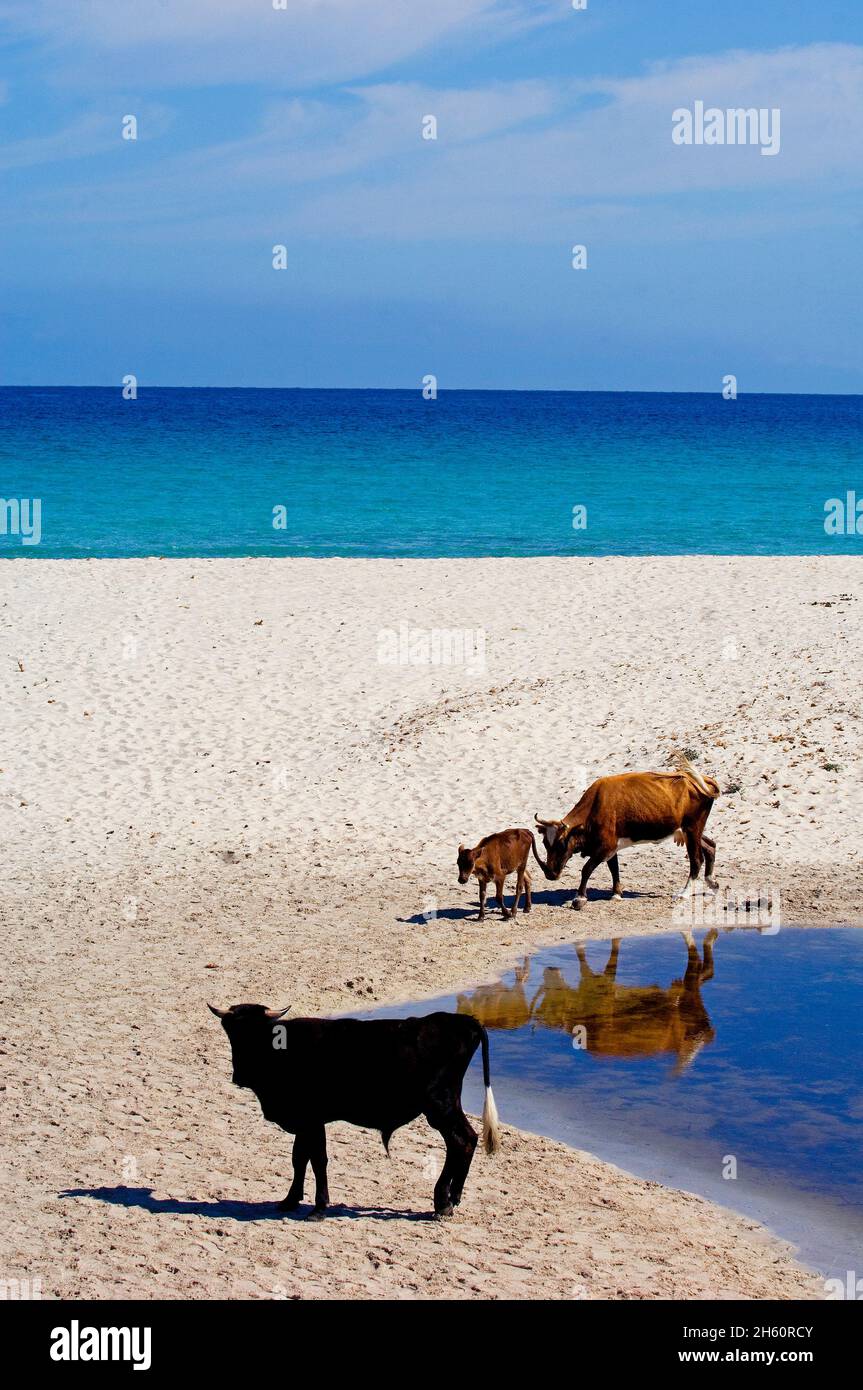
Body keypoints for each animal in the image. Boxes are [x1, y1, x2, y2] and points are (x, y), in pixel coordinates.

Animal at [207, 1004, 501, 1219]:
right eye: (232, 1033)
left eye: (259, 1034)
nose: (239, 1076)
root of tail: (462, 1020)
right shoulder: (305, 1122)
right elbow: (299, 1159)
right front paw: (290, 1200)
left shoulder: (312, 1120)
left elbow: (317, 1160)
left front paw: (319, 1207)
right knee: (466, 1140)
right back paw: (452, 1198)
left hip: (440, 1106)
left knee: (461, 1141)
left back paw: (442, 1202)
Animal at [533, 754, 720, 908]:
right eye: (545, 844)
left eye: (561, 844)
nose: (551, 873)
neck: (596, 806)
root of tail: (702, 780)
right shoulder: (611, 846)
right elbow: (614, 868)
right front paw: (616, 894)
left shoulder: (605, 846)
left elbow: (587, 869)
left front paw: (579, 898)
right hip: (691, 832)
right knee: (710, 846)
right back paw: (712, 884)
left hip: (692, 829)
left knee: (696, 860)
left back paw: (684, 893)